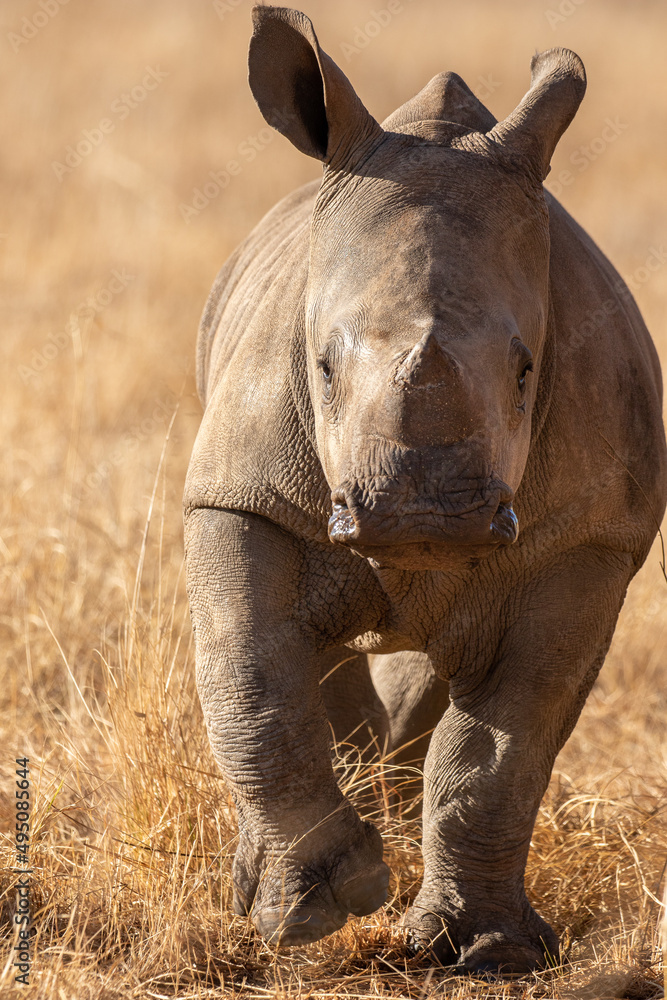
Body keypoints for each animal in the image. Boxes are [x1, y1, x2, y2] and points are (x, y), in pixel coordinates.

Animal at [184, 5, 667, 973]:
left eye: (525, 373)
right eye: (322, 368)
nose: (422, 514)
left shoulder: (587, 537)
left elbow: (502, 746)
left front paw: (485, 951)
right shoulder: (240, 491)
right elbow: (249, 675)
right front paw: (311, 913)